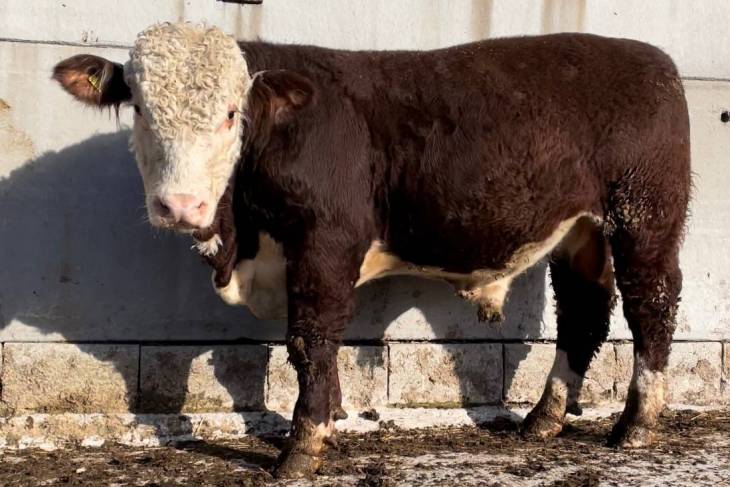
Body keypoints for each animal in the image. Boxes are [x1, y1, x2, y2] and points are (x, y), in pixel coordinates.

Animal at [53, 23, 691, 478]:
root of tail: (651, 60)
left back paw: (636, 424)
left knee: (651, 307)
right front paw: (330, 423)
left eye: (232, 114)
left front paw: (302, 447)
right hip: (581, 233)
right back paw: (544, 419)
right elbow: (317, 345)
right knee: (583, 315)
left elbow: (310, 339)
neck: (241, 241)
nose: (180, 205)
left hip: (644, 217)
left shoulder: (327, 240)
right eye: (140, 107)